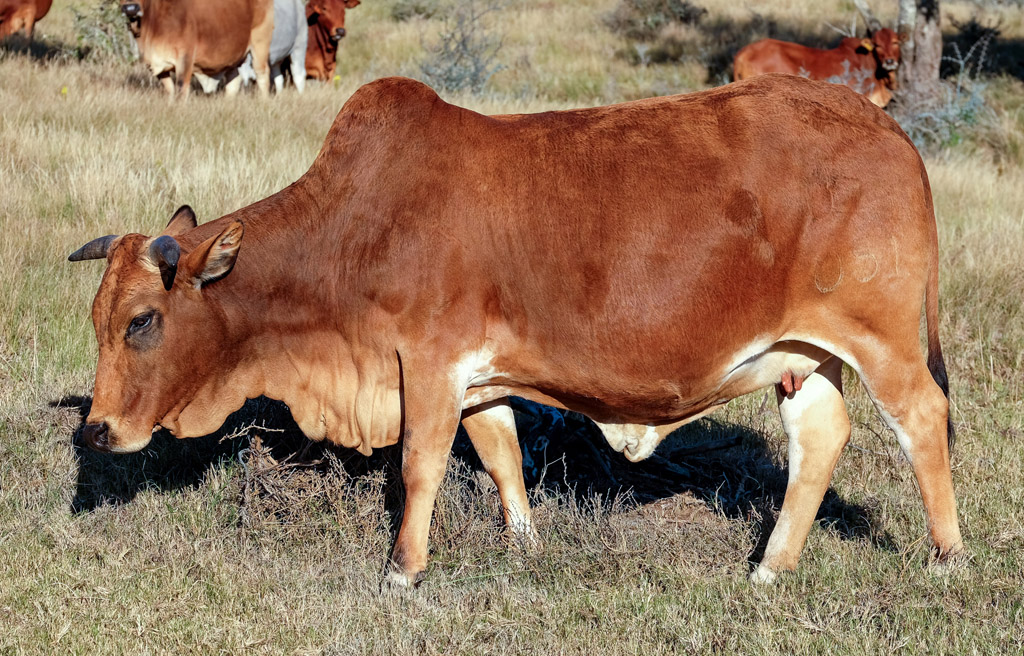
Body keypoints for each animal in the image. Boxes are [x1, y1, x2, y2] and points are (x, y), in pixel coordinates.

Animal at [69, 75, 963, 587]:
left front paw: (403, 570)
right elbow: (499, 453)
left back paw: (947, 556)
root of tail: (888, 131)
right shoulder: (479, 378)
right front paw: (525, 543)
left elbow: (420, 465)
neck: (355, 230)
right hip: (804, 356)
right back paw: (771, 568)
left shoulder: (429, 362)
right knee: (821, 437)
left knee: (923, 419)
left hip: (882, 342)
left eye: (143, 321)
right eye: (98, 319)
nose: (98, 431)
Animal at [118, 0, 274, 99]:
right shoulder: (158, 66)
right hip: (233, 57)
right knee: (233, 82)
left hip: (260, 44)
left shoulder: (185, 58)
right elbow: (170, 90)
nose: (131, 8)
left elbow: (181, 87)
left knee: (262, 74)